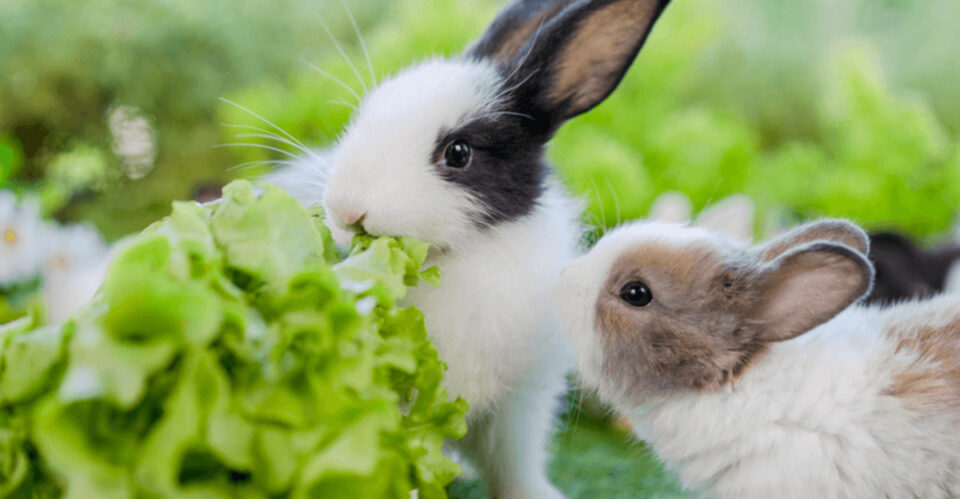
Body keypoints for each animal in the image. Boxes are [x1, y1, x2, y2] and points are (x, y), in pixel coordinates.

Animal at [266, 0, 674, 495]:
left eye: (458, 153)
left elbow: (515, 464)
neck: (461, 257)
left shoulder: (522, 403)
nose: (346, 209)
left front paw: (536, 493)